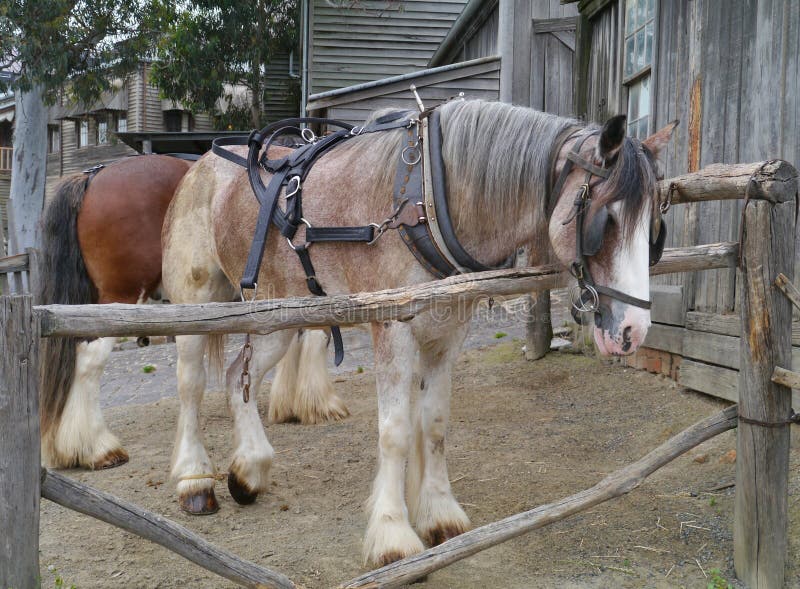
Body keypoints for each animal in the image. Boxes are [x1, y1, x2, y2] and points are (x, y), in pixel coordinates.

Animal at [39, 154, 347, 472]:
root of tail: (93, 176)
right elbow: (316, 338)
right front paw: (318, 403)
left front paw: (289, 404)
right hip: (118, 301)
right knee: (89, 359)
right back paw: (96, 448)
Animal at [160, 98, 676, 566]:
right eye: (606, 219)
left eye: (655, 225)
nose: (633, 329)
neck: (426, 197)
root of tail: (202, 163)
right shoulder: (393, 328)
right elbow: (395, 430)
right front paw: (392, 533)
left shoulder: (447, 334)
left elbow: (434, 423)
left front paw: (438, 513)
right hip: (197, 304)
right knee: (191, 382)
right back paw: (194, 481)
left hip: (278, 318)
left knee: (237, 376)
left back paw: (249, 470)